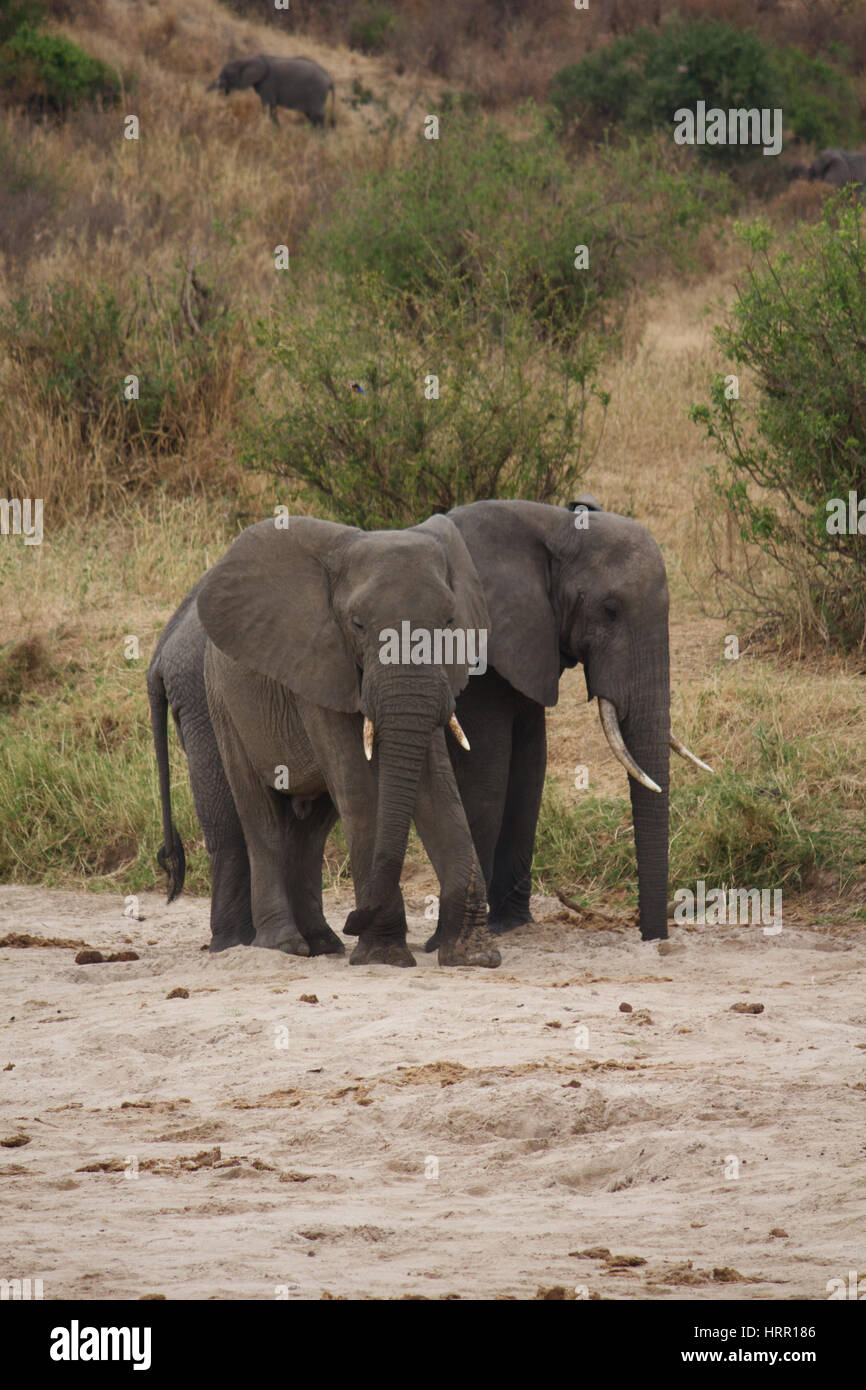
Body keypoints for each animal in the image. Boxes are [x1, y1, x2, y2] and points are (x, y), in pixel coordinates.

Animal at [150, 512, 499, 969]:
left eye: (448, 624)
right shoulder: (318, 666)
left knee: (309, 831)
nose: (353, 917)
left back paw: (321, 943)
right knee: (258, 818)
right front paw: (383, 956)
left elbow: (438, 786)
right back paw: (281, 945)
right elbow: (359, 786)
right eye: (358, 625)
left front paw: (474, 955)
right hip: (220, 701)